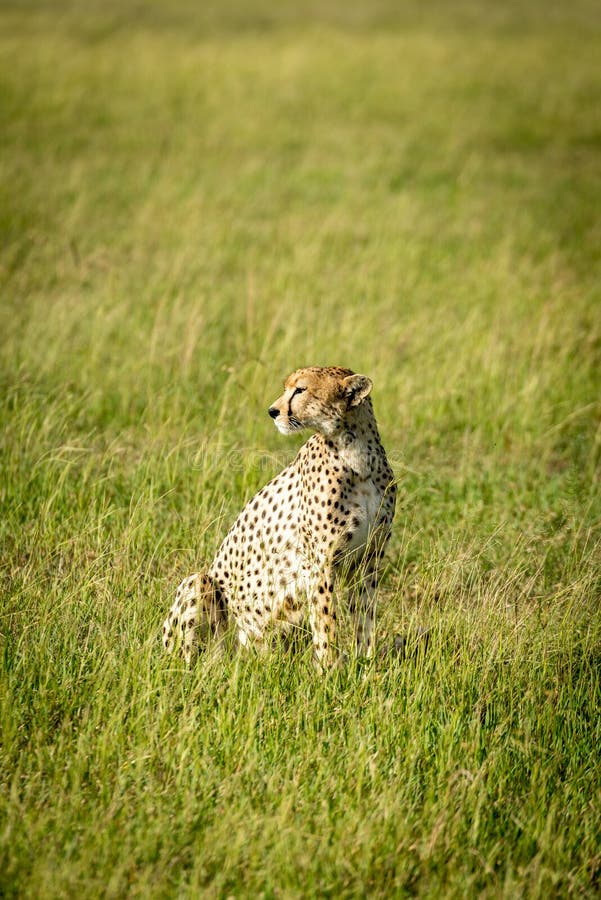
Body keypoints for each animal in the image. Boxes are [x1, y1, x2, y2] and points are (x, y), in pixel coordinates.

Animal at [162, 366, 396, 668]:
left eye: (301, 390)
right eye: (288, 388)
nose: (273, 411)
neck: (355, 455)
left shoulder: (369, 558)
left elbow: (364, 616)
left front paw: (365, 664)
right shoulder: (319, 562)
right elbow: (326, 619)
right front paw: (330, 669)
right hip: (200, 588)